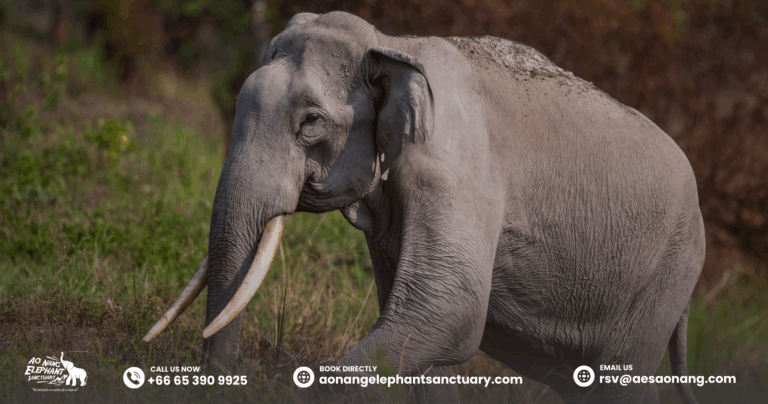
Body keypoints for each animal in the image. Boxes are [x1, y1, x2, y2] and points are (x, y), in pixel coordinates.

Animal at [143, 11, 705, 404]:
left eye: (310, 122)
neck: (395, 45)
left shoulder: (457, 170)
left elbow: (449, 311)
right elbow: (424, 330)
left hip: (665, 278)